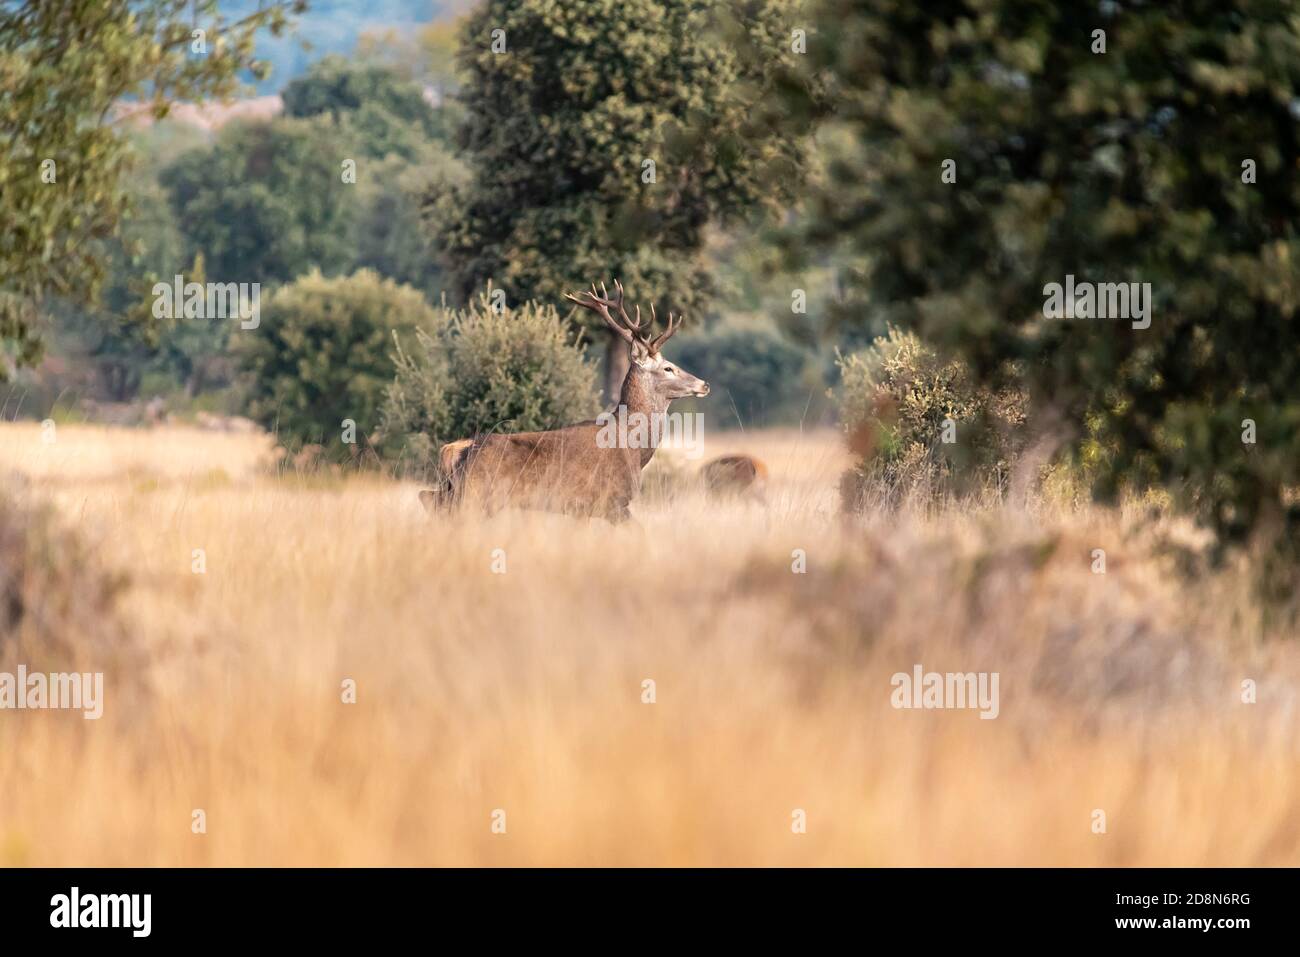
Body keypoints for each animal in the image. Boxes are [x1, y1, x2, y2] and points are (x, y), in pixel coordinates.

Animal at [418, 281, 710, 523]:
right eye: (668, 368)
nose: (704, 384)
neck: (634, 448)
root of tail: (457, 449)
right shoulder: (609, 500)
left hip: (451, 494)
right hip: (477, 496)